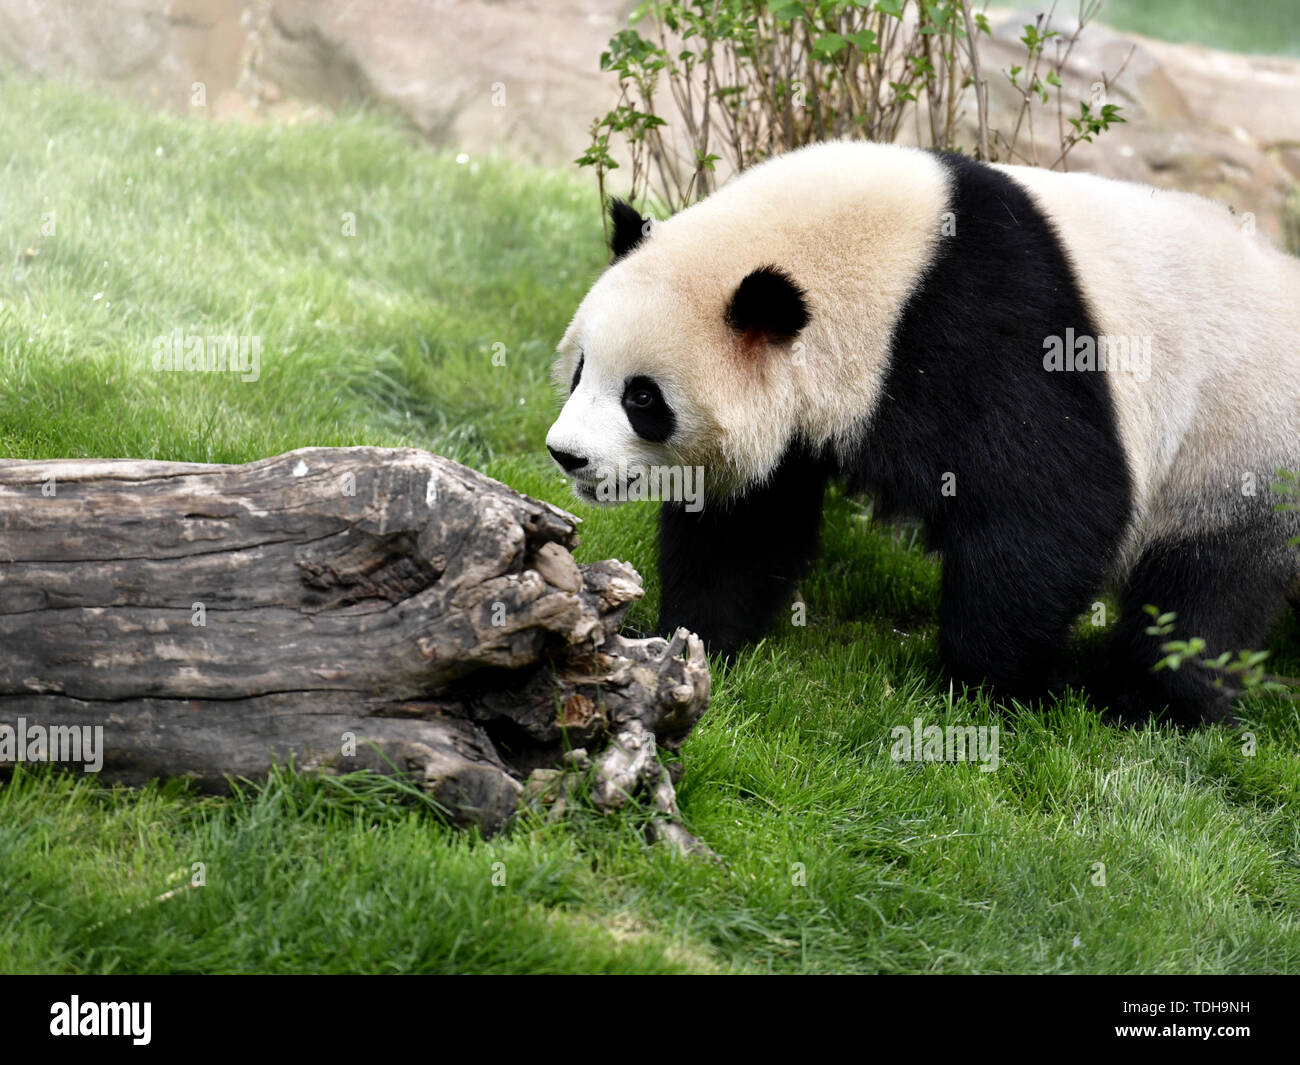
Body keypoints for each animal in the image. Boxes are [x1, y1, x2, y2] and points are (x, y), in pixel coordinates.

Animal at [545, 141, 1300, 726]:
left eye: (643, 398)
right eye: (582, 369)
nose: (567, 455)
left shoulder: (989, 331)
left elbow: (1051, 507)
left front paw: (993, 686)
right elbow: (747, 524)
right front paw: (692, 638)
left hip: (1241, 447)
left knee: (1202, 597)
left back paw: (1148, 702)